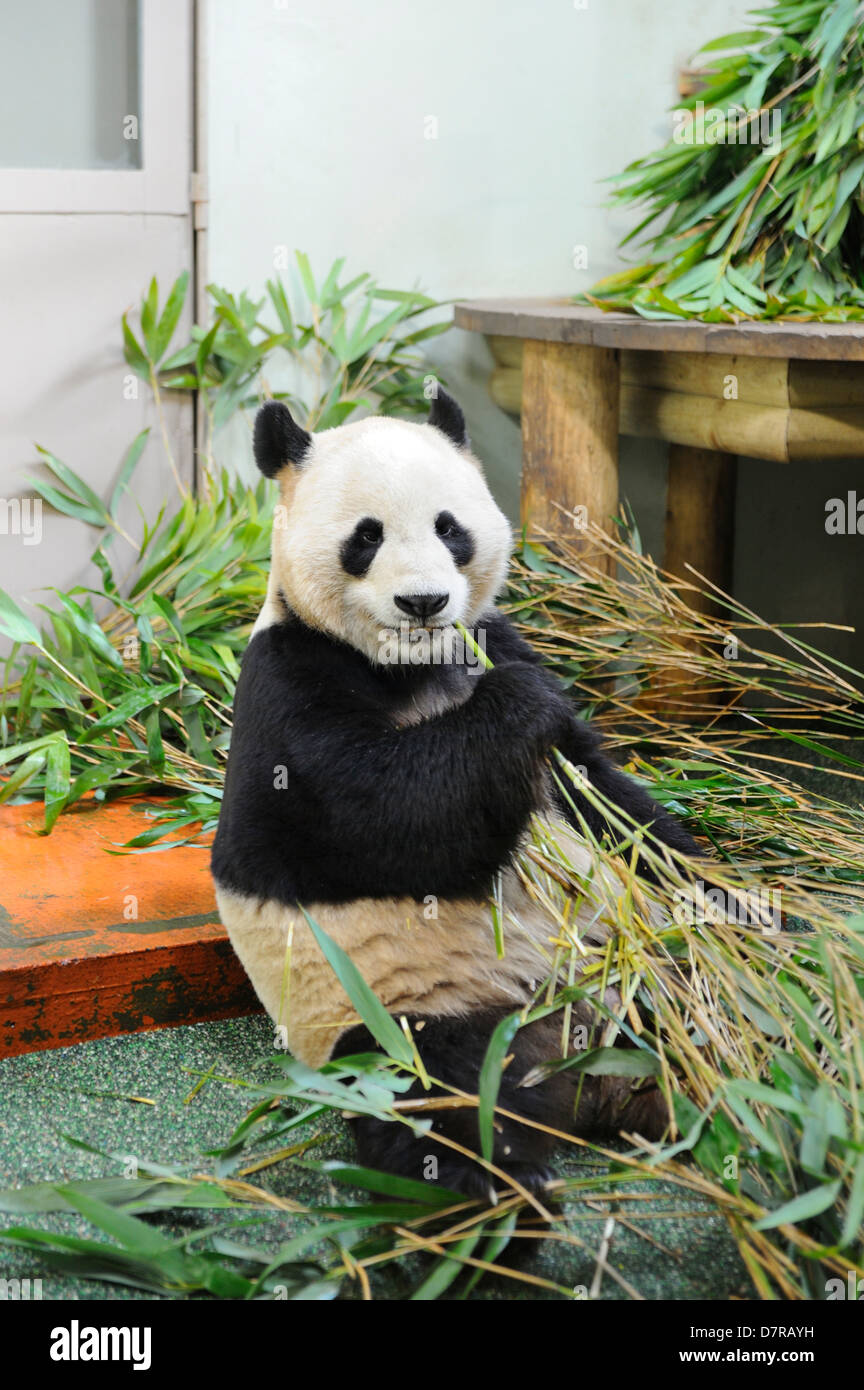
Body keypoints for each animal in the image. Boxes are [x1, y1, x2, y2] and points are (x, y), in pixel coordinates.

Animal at [211, 388, 701, 1197]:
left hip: (644, 972)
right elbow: (377, 816)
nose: (424, 601)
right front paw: (519, 706)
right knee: (439, 1097)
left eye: (450, 528)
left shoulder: (494, 639)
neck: (416, 667)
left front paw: (709, 883)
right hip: (408, 1014)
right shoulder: (288, 682)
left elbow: (605, 798)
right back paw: (498, 1198)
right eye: (366, 537)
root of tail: (595, 1072)